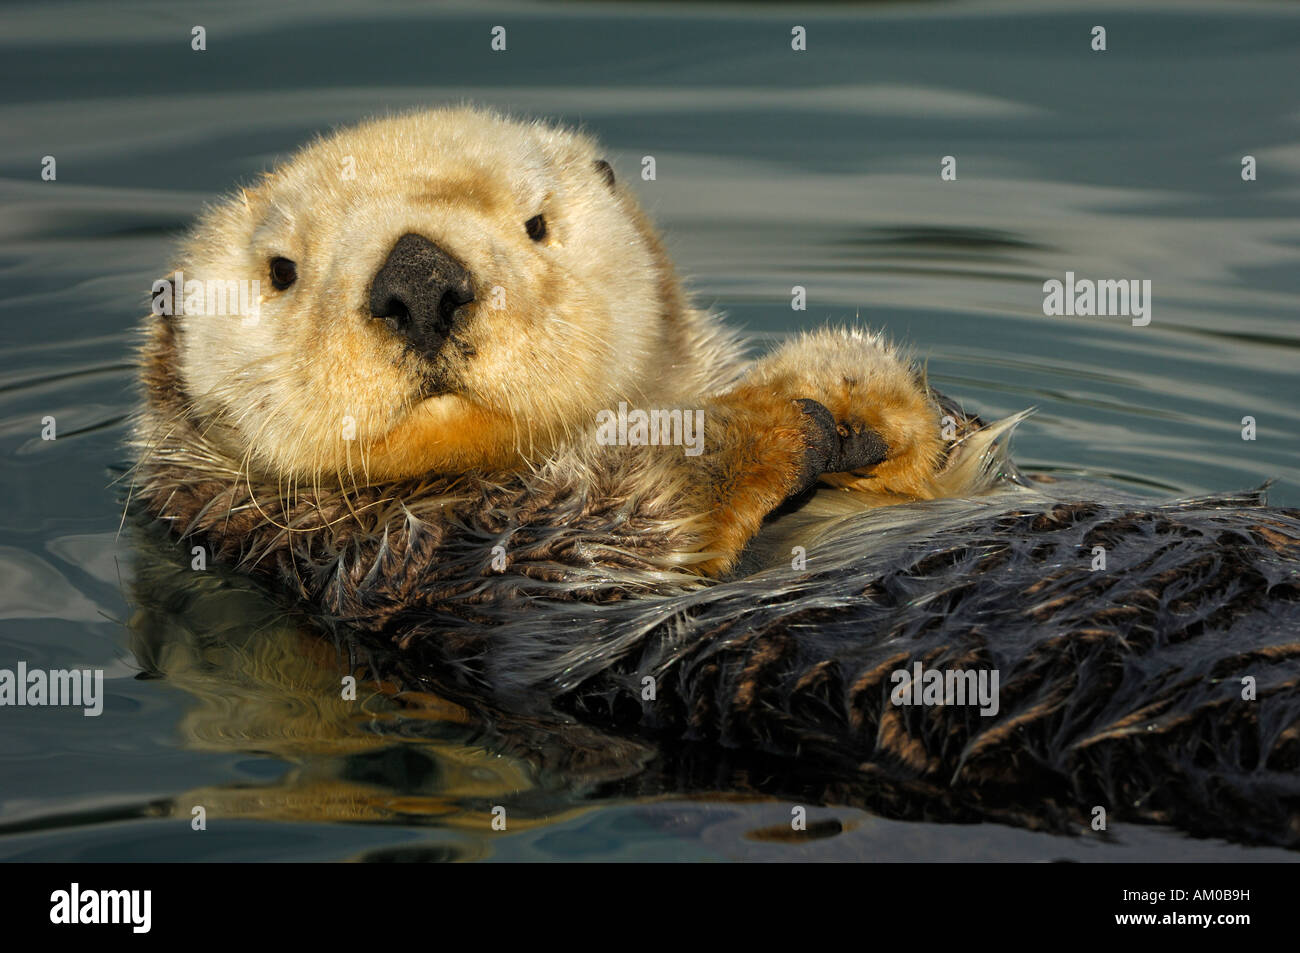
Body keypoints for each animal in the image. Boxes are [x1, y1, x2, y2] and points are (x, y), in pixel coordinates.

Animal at [129, 107, 1300, 848]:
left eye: (535, 223)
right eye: (281, 271)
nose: (421, 280)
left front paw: (859, 394)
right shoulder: (409, 557)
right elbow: (622, 514)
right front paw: (760, 421)